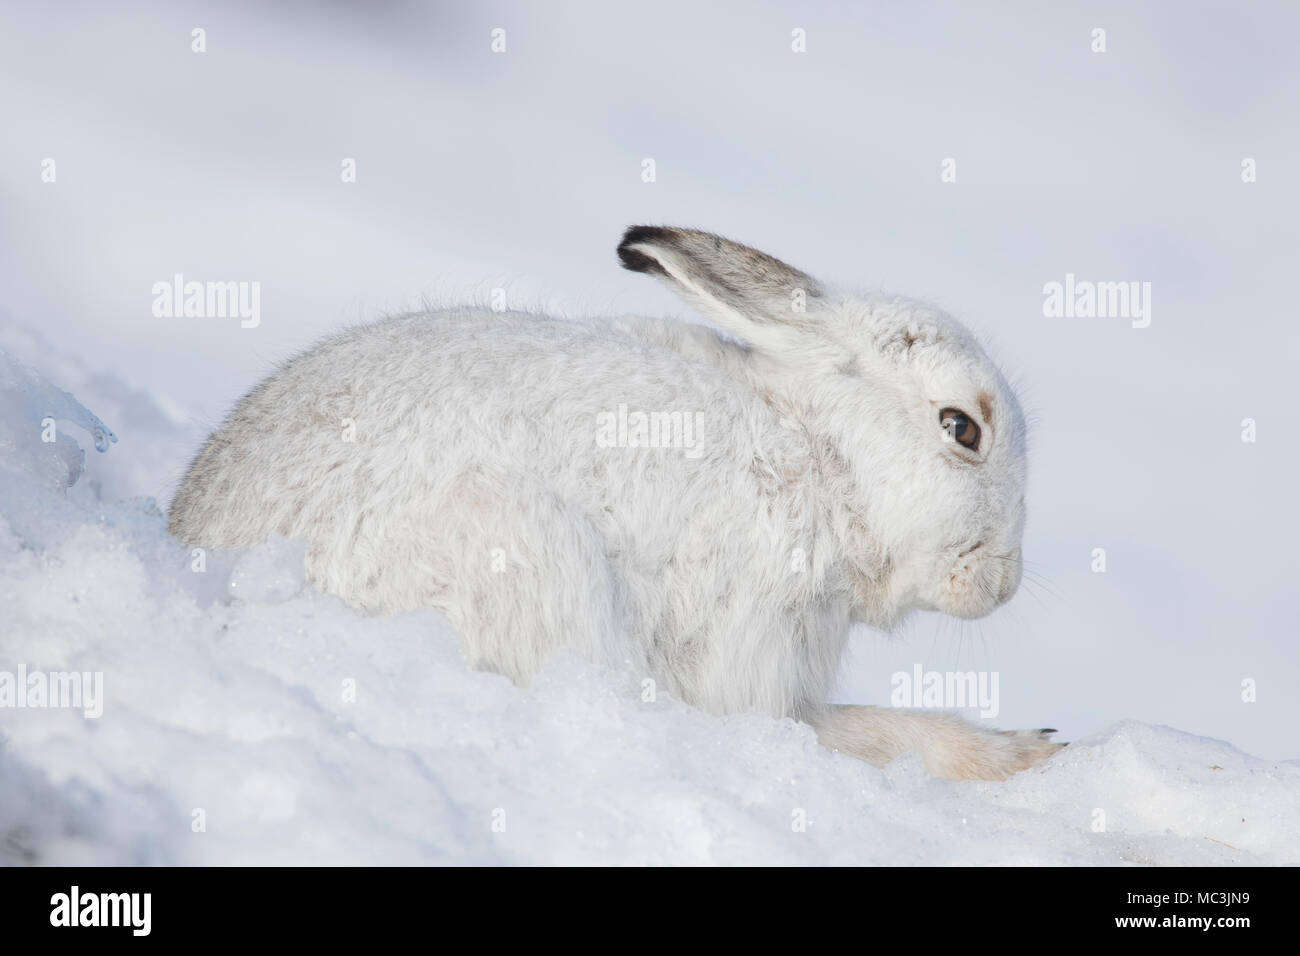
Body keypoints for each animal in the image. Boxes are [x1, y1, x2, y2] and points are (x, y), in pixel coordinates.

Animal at [169, 225, 1061, 780]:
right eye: (962, 428)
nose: (1005, 582)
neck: (818, 448)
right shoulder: (755, 640)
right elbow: (834, 728)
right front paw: (1024, 749)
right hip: (523, 554)